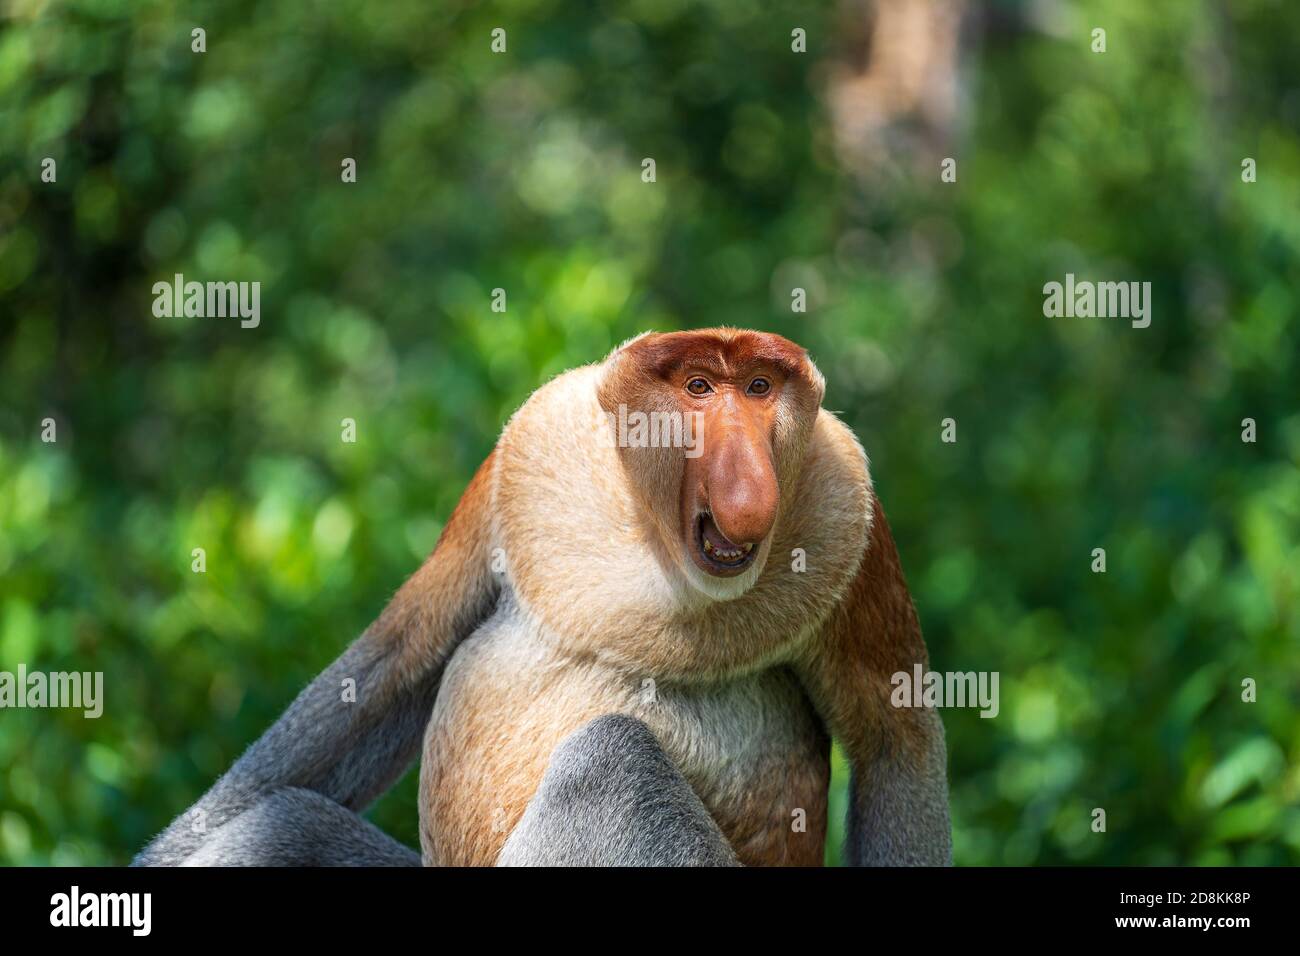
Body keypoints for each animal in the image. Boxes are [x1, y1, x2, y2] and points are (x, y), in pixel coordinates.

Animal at [134, 328, 951, 867]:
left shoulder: (849, 515)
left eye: (759, 389)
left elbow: (894, 739)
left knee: (611, 760)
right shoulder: (521, 451)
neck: (652, 538)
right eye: (697, 388)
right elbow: (398, 656)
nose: (746, 483)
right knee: (287, 824)